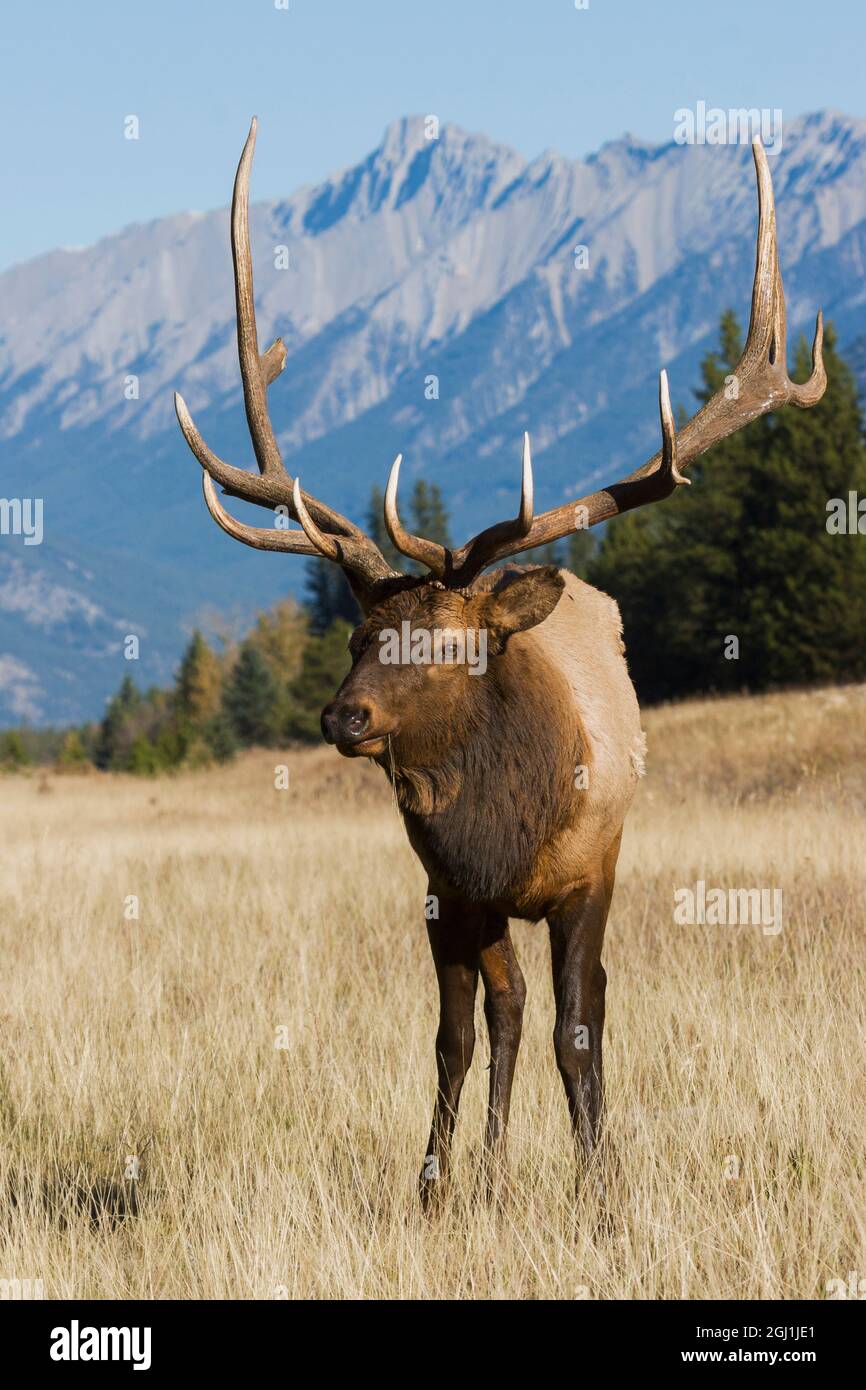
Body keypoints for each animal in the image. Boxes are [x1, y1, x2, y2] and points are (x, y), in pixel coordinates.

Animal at [175, 120, 826, 1205]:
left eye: (444, 643)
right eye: (356, 637)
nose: (342, 717)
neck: (503, 834)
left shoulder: (588, 874)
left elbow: (578, 1027)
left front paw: (599, 1191)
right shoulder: (447, 893)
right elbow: (454, 1035)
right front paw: (437, 1185)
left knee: (576, 1006)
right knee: (506, 1008)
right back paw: (486, 1169)